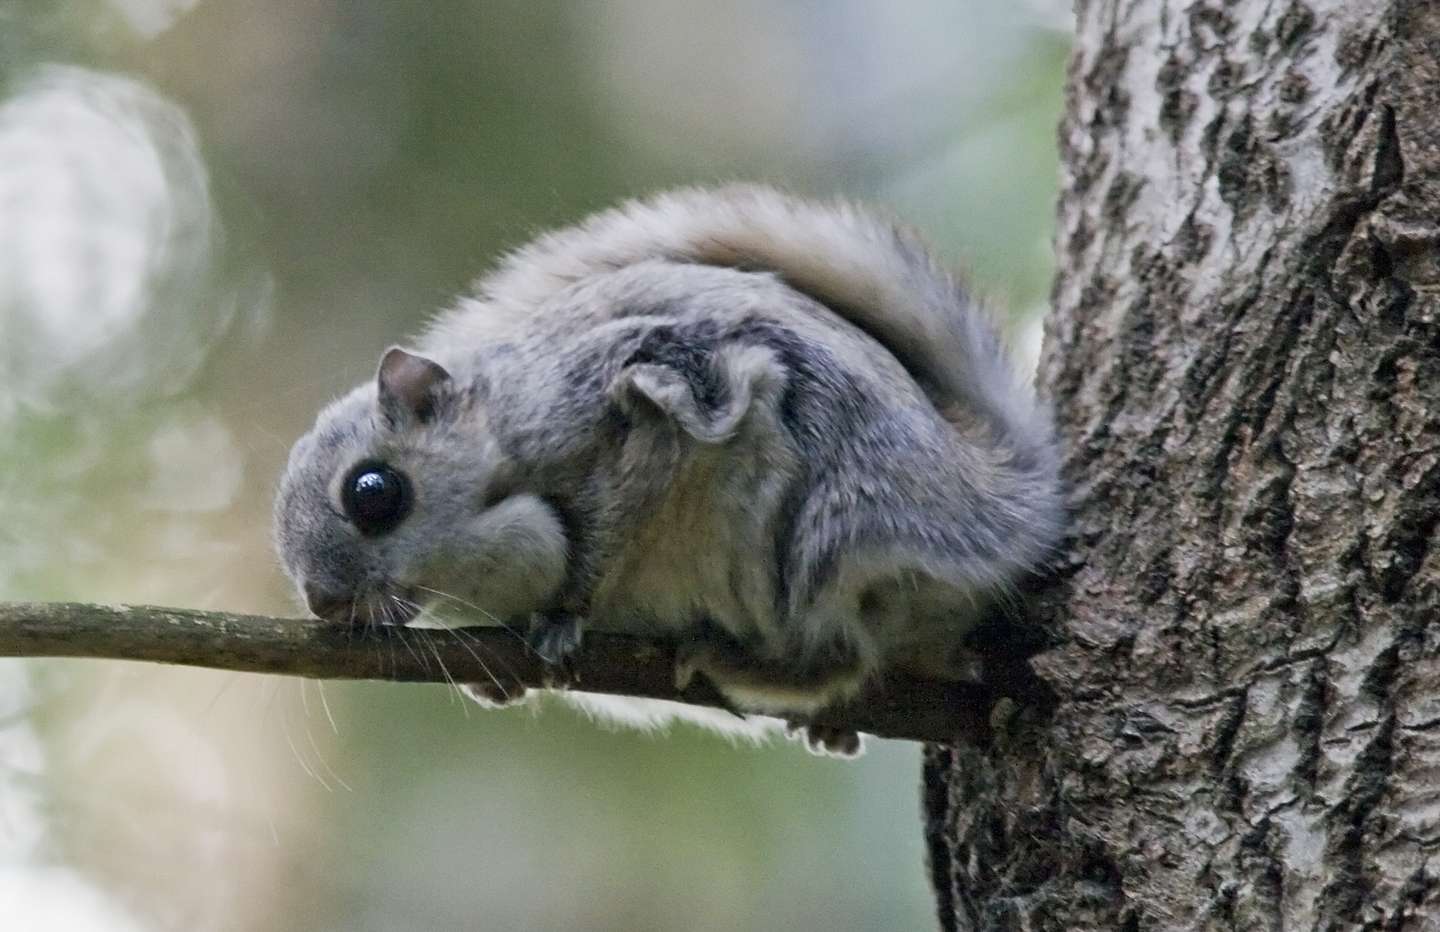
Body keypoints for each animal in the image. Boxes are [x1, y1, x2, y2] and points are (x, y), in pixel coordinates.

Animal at [273, 185, 1063, 755]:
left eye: (374, 492)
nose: (323, 602)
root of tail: (995, 500)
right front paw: (500, 685)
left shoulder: (619, 418)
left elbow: (613, 521)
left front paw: (563, 618)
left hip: (820, 534)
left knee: (835, 654)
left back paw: (729, 659)